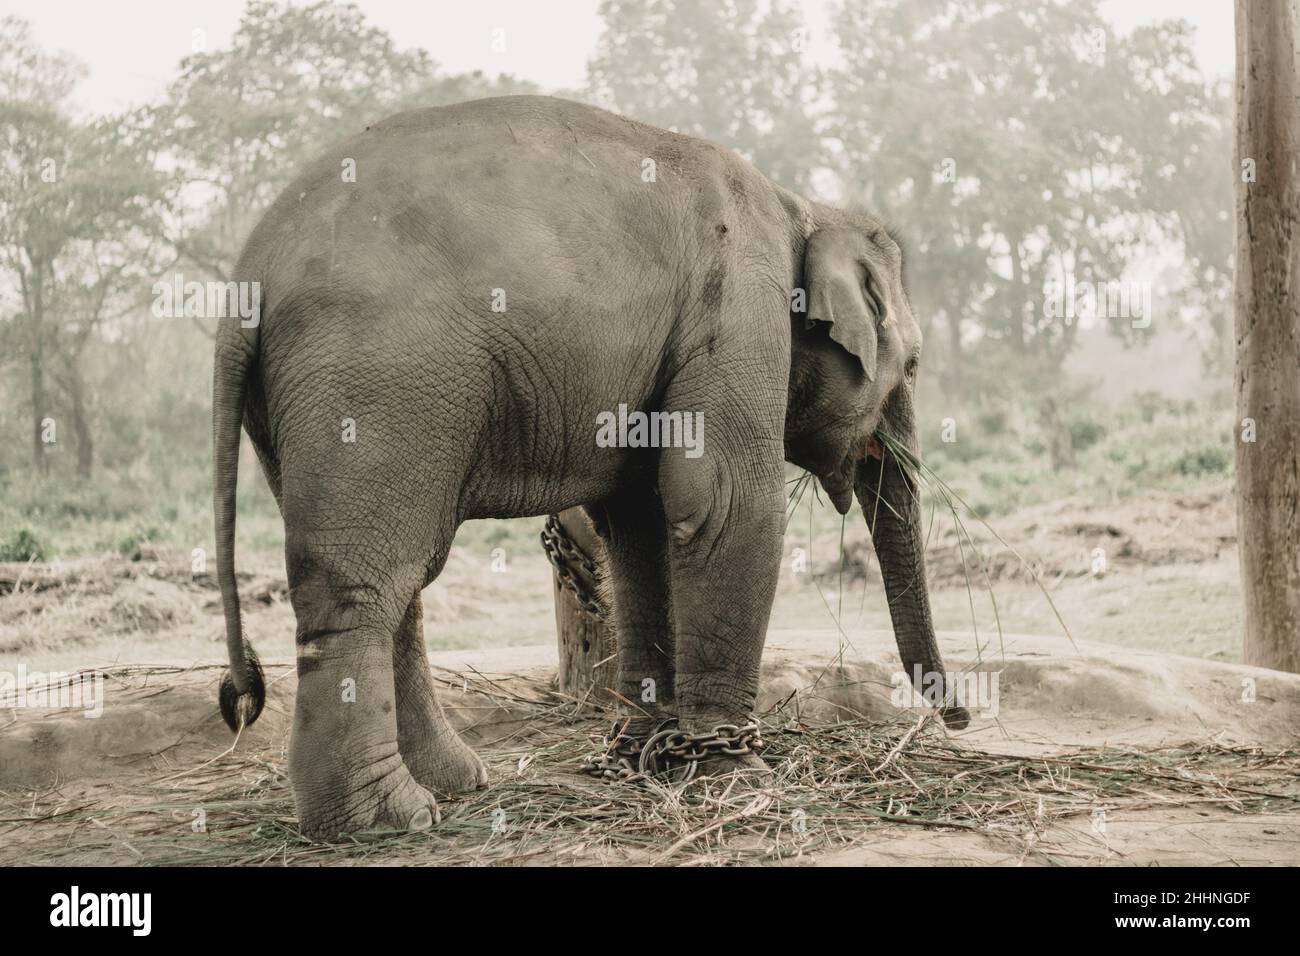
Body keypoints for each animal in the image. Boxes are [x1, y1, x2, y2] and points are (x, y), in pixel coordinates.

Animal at [213, 94, 970, 837]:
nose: (958, 715)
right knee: (362, 583)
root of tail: (248, 277)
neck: (802, 207)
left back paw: (452, 783)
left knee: (399, 578)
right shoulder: (739, 306)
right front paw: (735, 774)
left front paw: (643, 753)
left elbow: (639, 519)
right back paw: (384, 820)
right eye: (913, 366)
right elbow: (723, 502)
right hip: (376, 380)